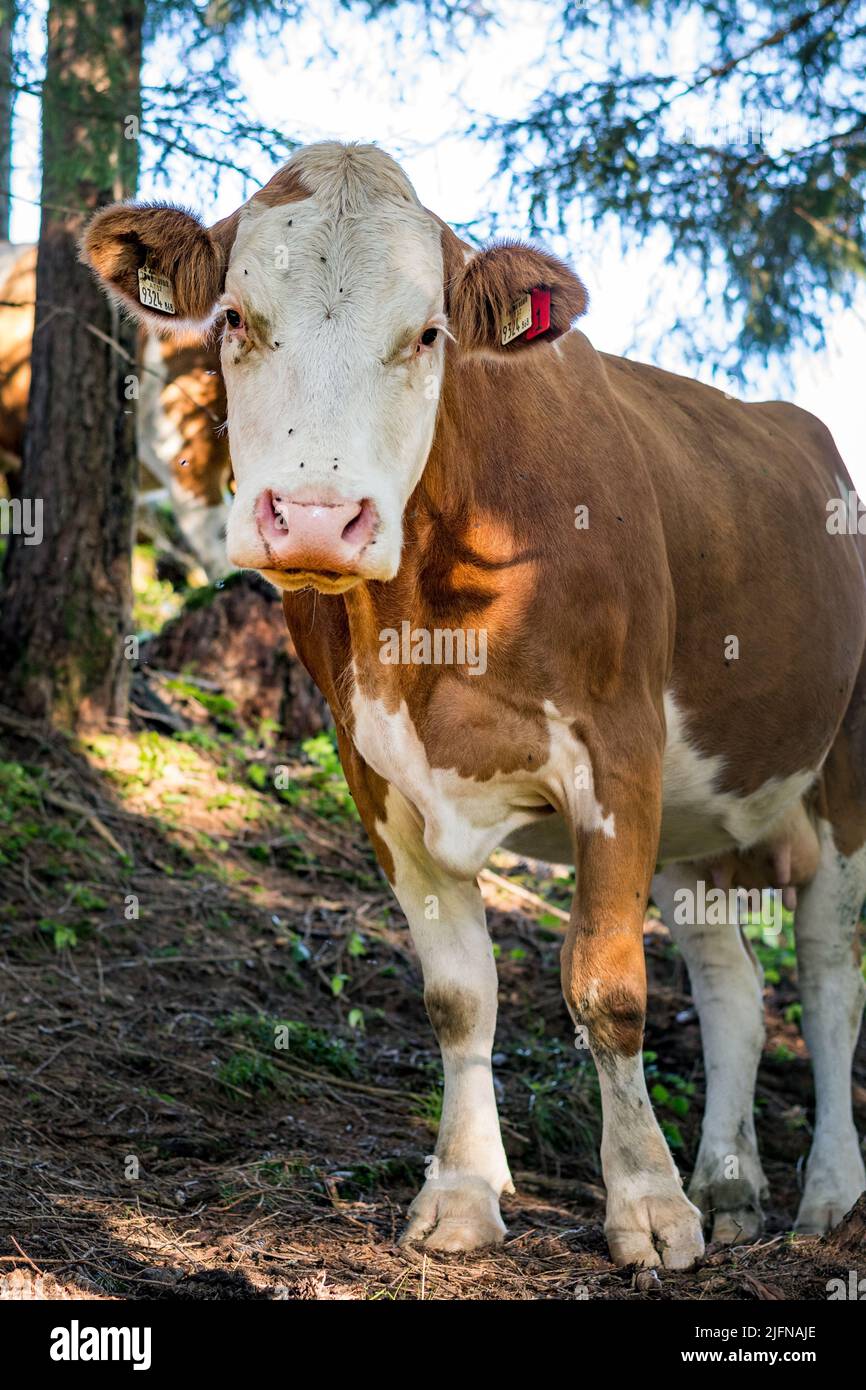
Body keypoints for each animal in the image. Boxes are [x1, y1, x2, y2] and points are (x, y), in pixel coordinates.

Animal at [82, 141, 866, 1268]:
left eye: (429, 333)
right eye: (233, 316)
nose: (314, 516)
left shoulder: (617, 750)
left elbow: (607, 987)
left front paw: (647, 1207)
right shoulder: (375, 778)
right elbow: (458, 996)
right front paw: (460, 1195)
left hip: (841, 768)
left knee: (830, 974)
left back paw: (827, 1192)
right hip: (697, 816)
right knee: (732, 989)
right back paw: (727, 1182)